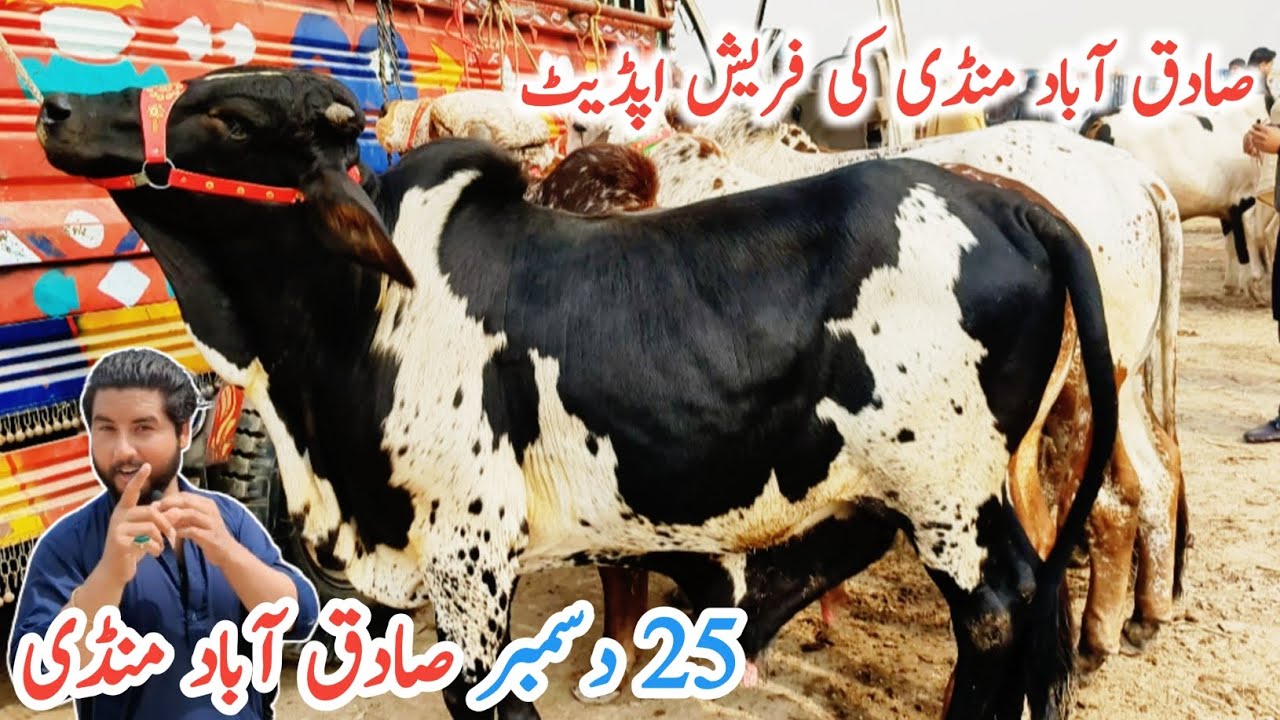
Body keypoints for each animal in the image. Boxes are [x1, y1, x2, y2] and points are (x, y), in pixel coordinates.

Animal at [36, 66, 1118, 720]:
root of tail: (1007, 202)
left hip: (944, 498)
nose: (54, 110)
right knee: (1037, 604)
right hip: (964, 498)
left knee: (995, 616)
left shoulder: (472, 552)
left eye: (226, 116)